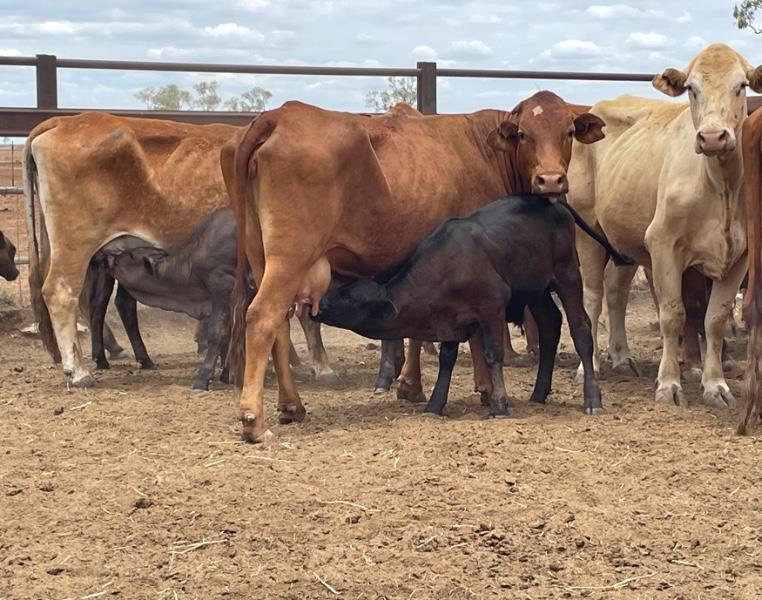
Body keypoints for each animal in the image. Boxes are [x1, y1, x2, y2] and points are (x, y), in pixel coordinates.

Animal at [23, 113, 337, 387]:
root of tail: (63, 121)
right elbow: (306, 316)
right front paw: (321, 366)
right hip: (75, 246)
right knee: (62, 293)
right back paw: (79, 371)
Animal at [223, 91, 607, 442]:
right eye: (524, 134)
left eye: (568, 132)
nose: (551, 180)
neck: (485, 151)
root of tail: (279, 115)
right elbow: (474, 336)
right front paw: (484, 389)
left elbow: (419, 330)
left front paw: (411, 385)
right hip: (291, 256)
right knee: (263, 317)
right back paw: (254, 420)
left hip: (261, 256)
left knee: (279, 327)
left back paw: (292, 405)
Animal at [568, 43, 760, 409]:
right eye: (692, 88)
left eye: (741, 86)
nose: (712, 137)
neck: (720, 186)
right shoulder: (663, 244)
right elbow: (673, 315)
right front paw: (669, 384)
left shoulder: (739, 257)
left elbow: (715, 319)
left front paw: (716, 386)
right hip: (587, 231)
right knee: (592, 296)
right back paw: (590, 366)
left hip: (624, 242)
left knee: (616, 291)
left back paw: (622, 357)